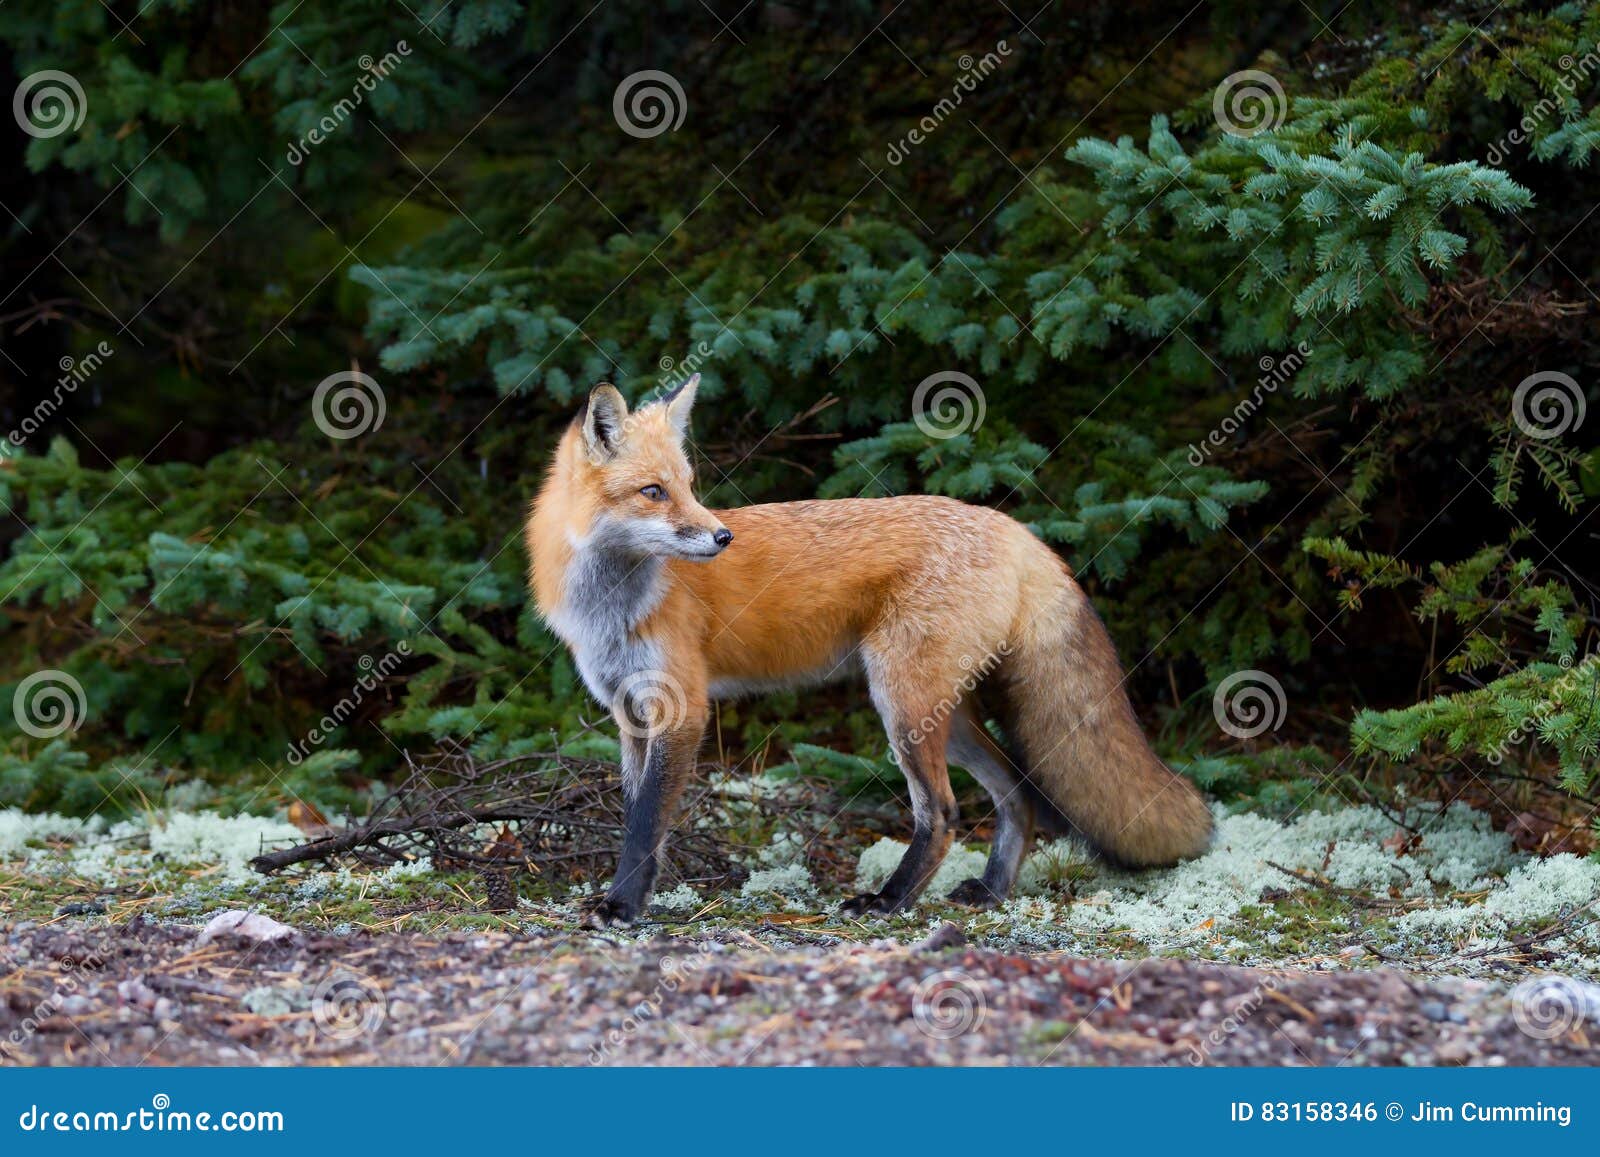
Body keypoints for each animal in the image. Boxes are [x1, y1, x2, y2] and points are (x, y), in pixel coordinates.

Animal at [527, 375, 1213, 926]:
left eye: (690, 487)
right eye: (653, 491)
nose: (723, 536)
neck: (611, 607)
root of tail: (1014, 528)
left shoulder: (682, 710)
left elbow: (646, 823)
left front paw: (621, 907)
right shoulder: (629, 714)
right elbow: (634, 815)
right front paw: (627, 897)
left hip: (902, 706)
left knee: (943, 812)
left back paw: (889, 901)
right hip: (943, 717)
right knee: (1016, 792)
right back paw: (990, 891)